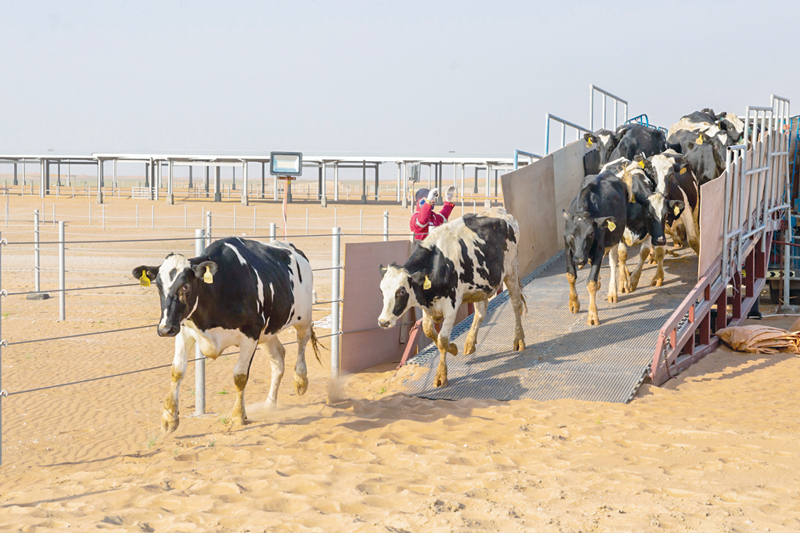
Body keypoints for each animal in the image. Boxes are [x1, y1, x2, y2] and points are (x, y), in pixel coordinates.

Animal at [132, 237, 320, 434]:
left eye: (185, 286)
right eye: (159, 287)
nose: (165, 329)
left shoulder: (250, 333)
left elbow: (240, 376)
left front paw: (238, 415)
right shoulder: (184, 330)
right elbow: (177, 370)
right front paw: (169, 418)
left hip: (303, 316)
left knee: (302, 340)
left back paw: (300, 381)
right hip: (267, 333)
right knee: (278, 359)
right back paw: (269, 405)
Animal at [378, 207, 525, 388]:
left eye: (401, 292)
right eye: (382, 291)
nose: (383, 322)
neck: (438, 263)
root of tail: (500, 211)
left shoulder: (451, 307)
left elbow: (442, 340)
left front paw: (441, 375)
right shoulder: (428, 304)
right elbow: (428, 330)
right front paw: (453, 348)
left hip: (511, 270)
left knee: (516, 304)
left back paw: (519, 340)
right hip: (480, 285)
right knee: (481, 312)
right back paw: (469, 344)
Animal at [563, 172, 627, 326]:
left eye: (591, 234)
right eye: (571, 234)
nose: (579, 259)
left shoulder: (599, 249)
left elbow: (591, 282)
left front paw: (592, 315)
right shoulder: (567, 249)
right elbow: (571, 276)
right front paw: (573, 303)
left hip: (617, 235)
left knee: (613, 261)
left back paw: (612, 292)